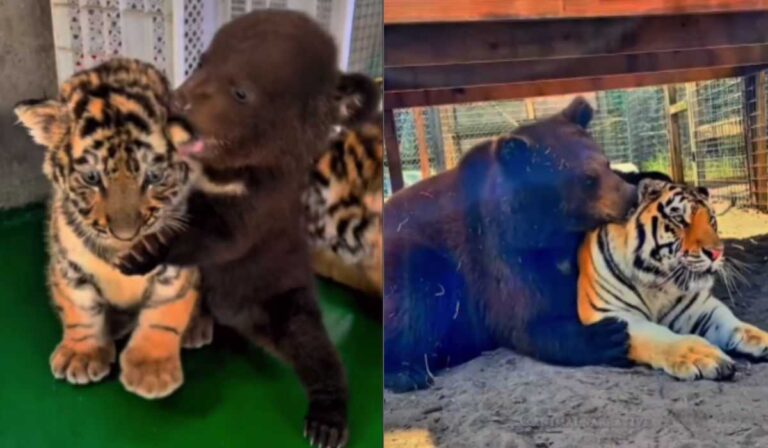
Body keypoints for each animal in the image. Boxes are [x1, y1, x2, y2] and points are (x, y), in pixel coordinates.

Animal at [384, 97, 638, 392]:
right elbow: (523, 317)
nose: (631, 197)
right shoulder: (497, 249)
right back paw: (406, 371)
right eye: (587, 178)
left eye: (607, 164)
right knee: (418, 293)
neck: (548, 229)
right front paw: (608, 335)